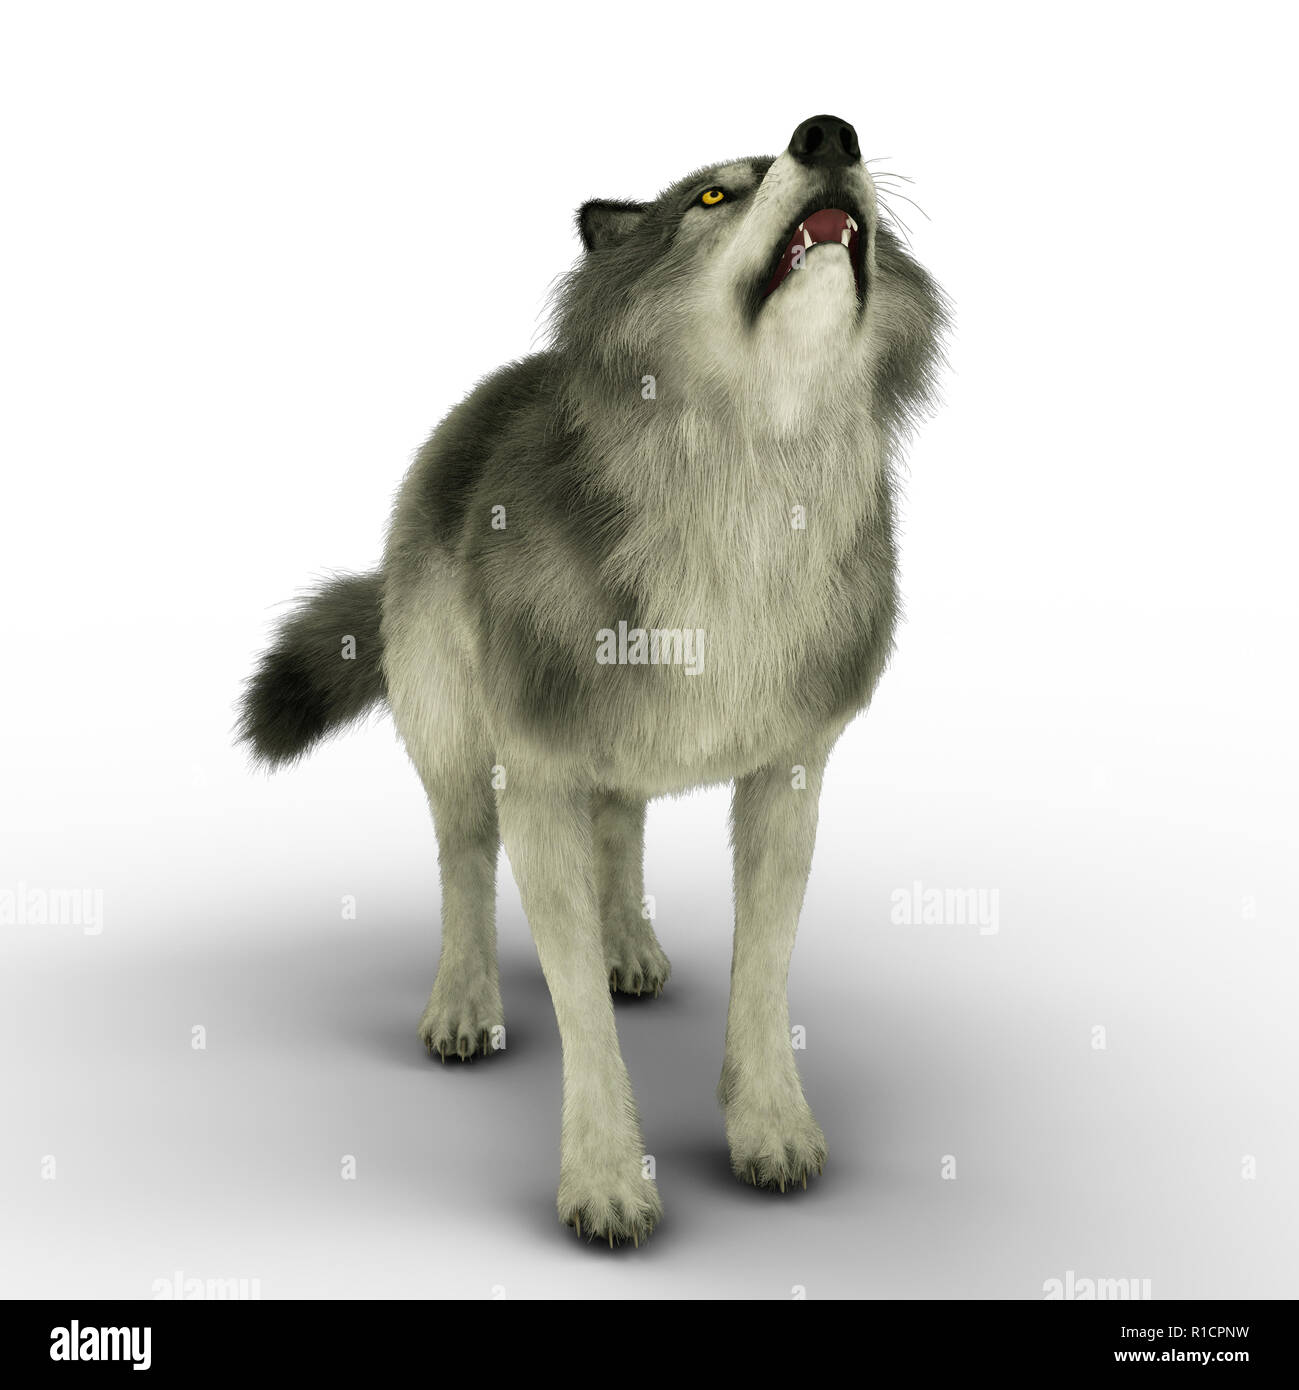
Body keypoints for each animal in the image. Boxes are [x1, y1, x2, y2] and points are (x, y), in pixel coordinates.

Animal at [239, 115, 947, 1246]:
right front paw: (608, 1183)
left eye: (833, 148)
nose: (828, 133)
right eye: (713, 197)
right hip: (451, 738)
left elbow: (763, 977)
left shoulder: (789, 775)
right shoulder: (537, 780)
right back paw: (464, 1005)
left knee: (623, 825)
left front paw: (770, 1130)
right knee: (462, 866)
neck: (749, 486)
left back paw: (630, 947)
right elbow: (578, 1015)